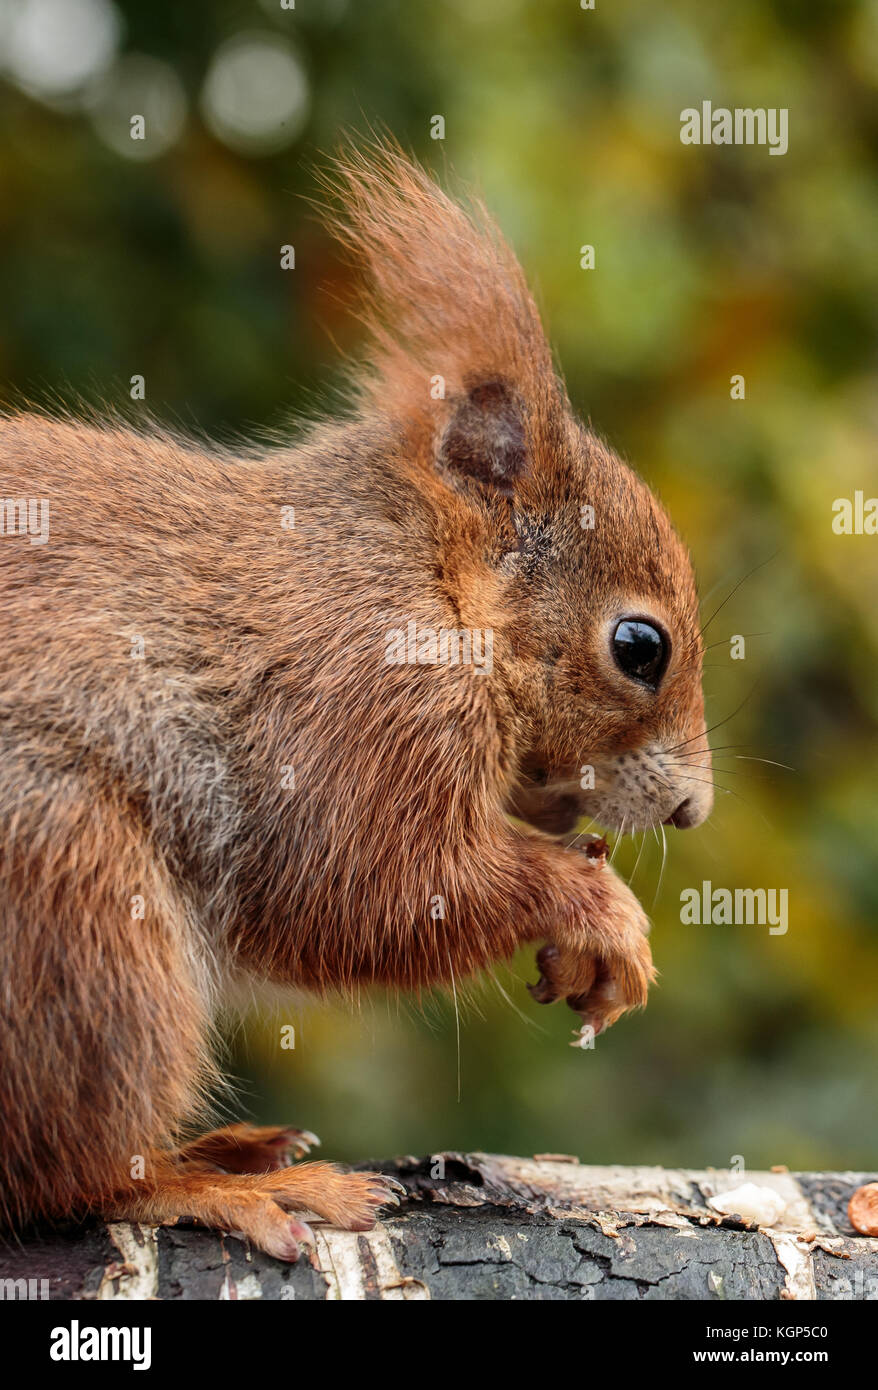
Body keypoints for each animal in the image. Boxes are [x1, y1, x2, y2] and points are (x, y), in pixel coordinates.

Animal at [0, 142, 711, 1261]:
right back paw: (211, 1182)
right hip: (74, 904)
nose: (692, 808)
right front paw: (600, 911)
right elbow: (365, 893)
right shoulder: (359, 703)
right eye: (639, 647)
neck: (427, 580)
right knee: (66, 1175)